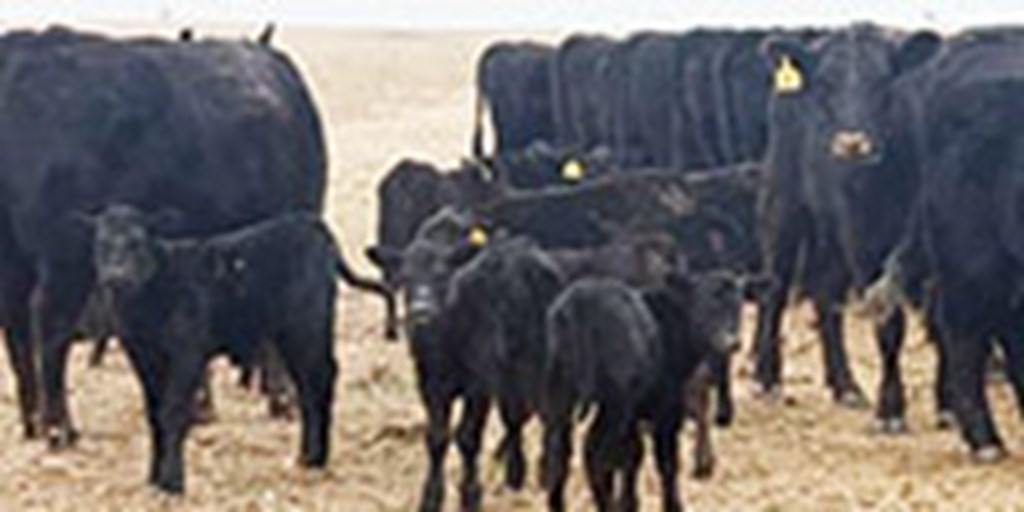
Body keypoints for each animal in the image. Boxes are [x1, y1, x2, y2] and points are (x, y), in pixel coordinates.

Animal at [79, 204, 392, 493]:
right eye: (101, 244)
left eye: (138, 242)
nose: (117, 275)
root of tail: (312, 225)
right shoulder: (142, 357)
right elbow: (154, 414)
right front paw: (154, 480)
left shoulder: (187, 353)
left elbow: (173, 413)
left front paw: (173, 483)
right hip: (289, 335)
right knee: (306, 386)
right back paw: (305, 457)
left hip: (308, 325)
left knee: (321, 378)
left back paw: (317, 459)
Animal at [540, 271, 744, 512]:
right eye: (707, 305)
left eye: (738, 307)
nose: (732, 342)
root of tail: (577, 304)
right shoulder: (666, 410)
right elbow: (666, 460)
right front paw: (672, 505)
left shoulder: (634, 418)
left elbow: (630, 455)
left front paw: (629, 502)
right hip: (615, 405)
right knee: (593, 454)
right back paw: (607, 505)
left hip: (559, 395)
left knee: (558, 452)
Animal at [752, 24, 943, 432]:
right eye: (826, 84)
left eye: (884, 81)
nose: (851, 144)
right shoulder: (864, 239)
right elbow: (888, 323)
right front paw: (891, 410)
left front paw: (948, 404)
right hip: (783, 207)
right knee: (775, 288)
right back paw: (767, 379)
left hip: (831, 234)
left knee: (826, 296)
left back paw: (846, 385)